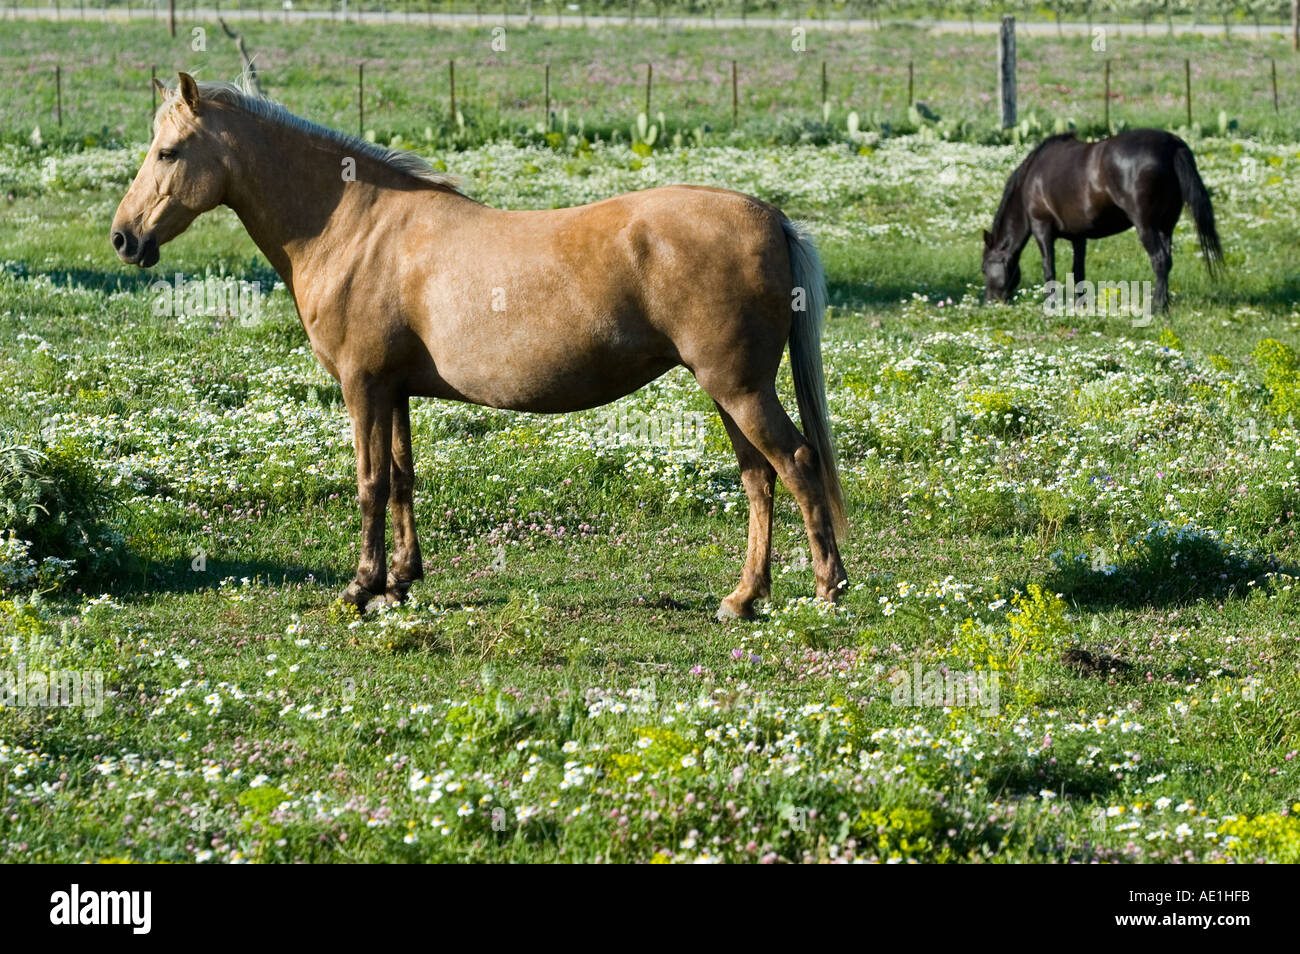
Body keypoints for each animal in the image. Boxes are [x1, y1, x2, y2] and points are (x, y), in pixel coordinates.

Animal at [110, 73, 848, 621]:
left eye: (168, 152)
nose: (124, 238)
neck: (356, 227)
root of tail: (770, 217)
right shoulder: (395, 390)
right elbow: (402, 479)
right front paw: (400, 583)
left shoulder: (362, 385)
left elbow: (369, 483)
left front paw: (360, 587)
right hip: (729, 392)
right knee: (758, 479)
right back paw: (744, 597)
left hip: (738, 389)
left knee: (796, 464)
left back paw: (826, 590)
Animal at [981, 129, 1223, 310]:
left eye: (984, 269)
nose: (989, 302)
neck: (1032, 179)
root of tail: (1172, 146)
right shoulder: (1078, 236)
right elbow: (1078, 271)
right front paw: (1081, 306)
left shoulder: (1042, 228)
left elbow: (1049, 269)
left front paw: (1051, 305)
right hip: (1166, 226)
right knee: (1168, 261)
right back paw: (1165, 305)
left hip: (1146, 226)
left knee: (1160, 260)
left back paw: (1156, 308)